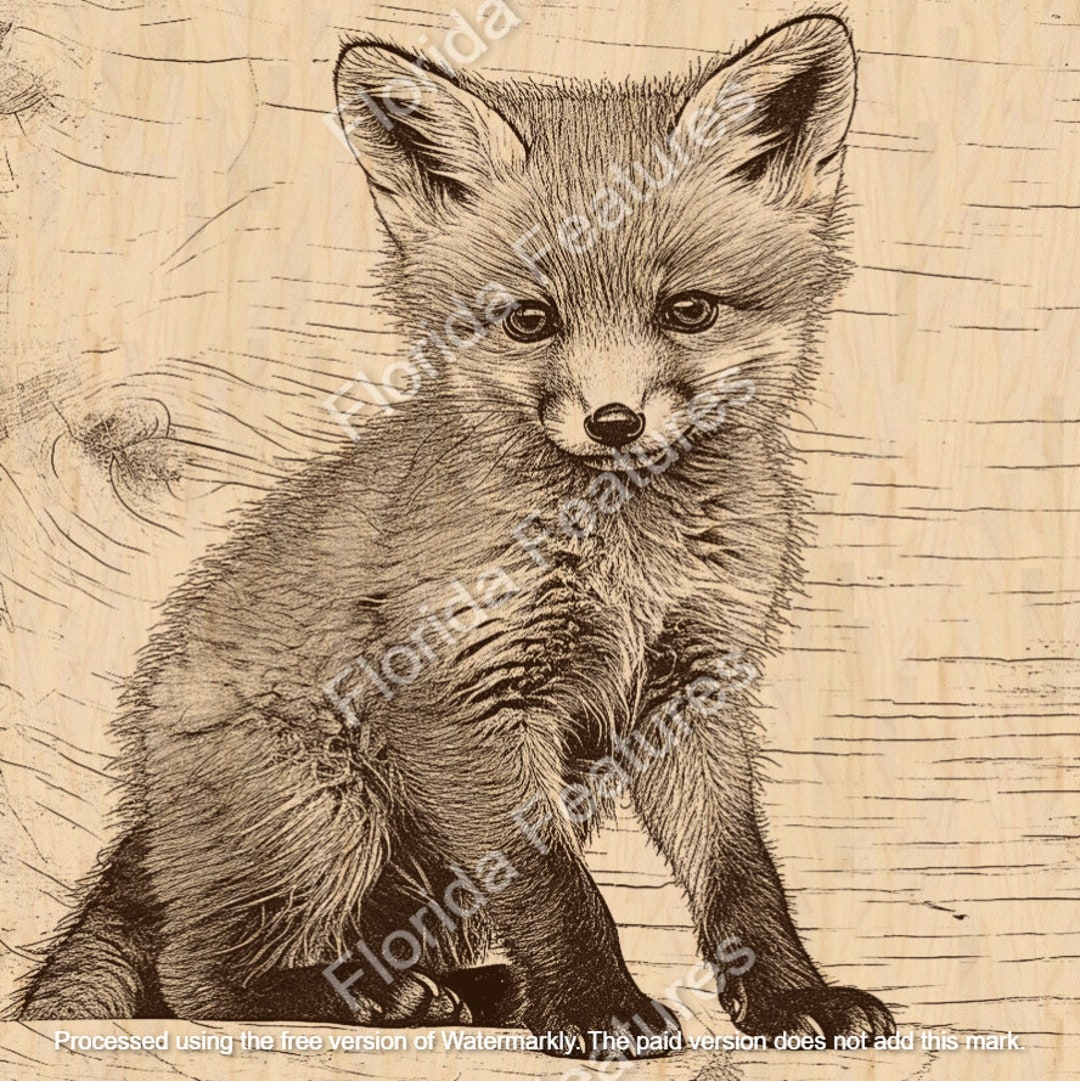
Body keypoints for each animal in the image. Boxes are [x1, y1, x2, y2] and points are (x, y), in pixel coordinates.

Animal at [15, 14, 896, 1056]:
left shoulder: (694, 685)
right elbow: (557, 890)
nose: (614, 422)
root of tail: (146, 812)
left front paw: (792, 996)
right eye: (530, 318)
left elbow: (740, 873)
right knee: (200, 982)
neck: (624, 558)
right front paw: (597, 1007)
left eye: (688, 310)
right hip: (330, 814)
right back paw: (374, 995)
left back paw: (474, 990)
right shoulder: (465, 701)